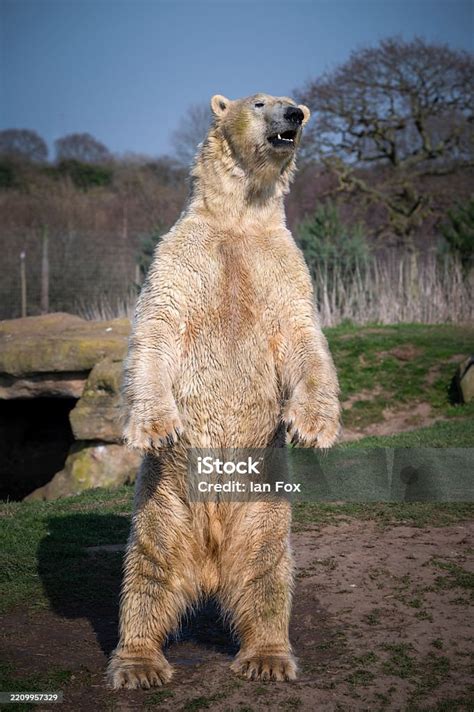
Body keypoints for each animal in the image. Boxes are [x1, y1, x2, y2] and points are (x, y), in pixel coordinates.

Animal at [106, 93, 340, 689]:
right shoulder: (181, 257)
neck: (237, 220)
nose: (293, 116)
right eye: (259, 102)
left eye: (294, 103)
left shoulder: (282, 265)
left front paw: (312, 427)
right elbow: (157, 328)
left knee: (266, 573)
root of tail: (209, 566)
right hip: (166, 500)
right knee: (149, 569)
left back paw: (268, 656)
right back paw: (140, 662)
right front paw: (157, 426)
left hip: (263, 505)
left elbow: (303, 337)